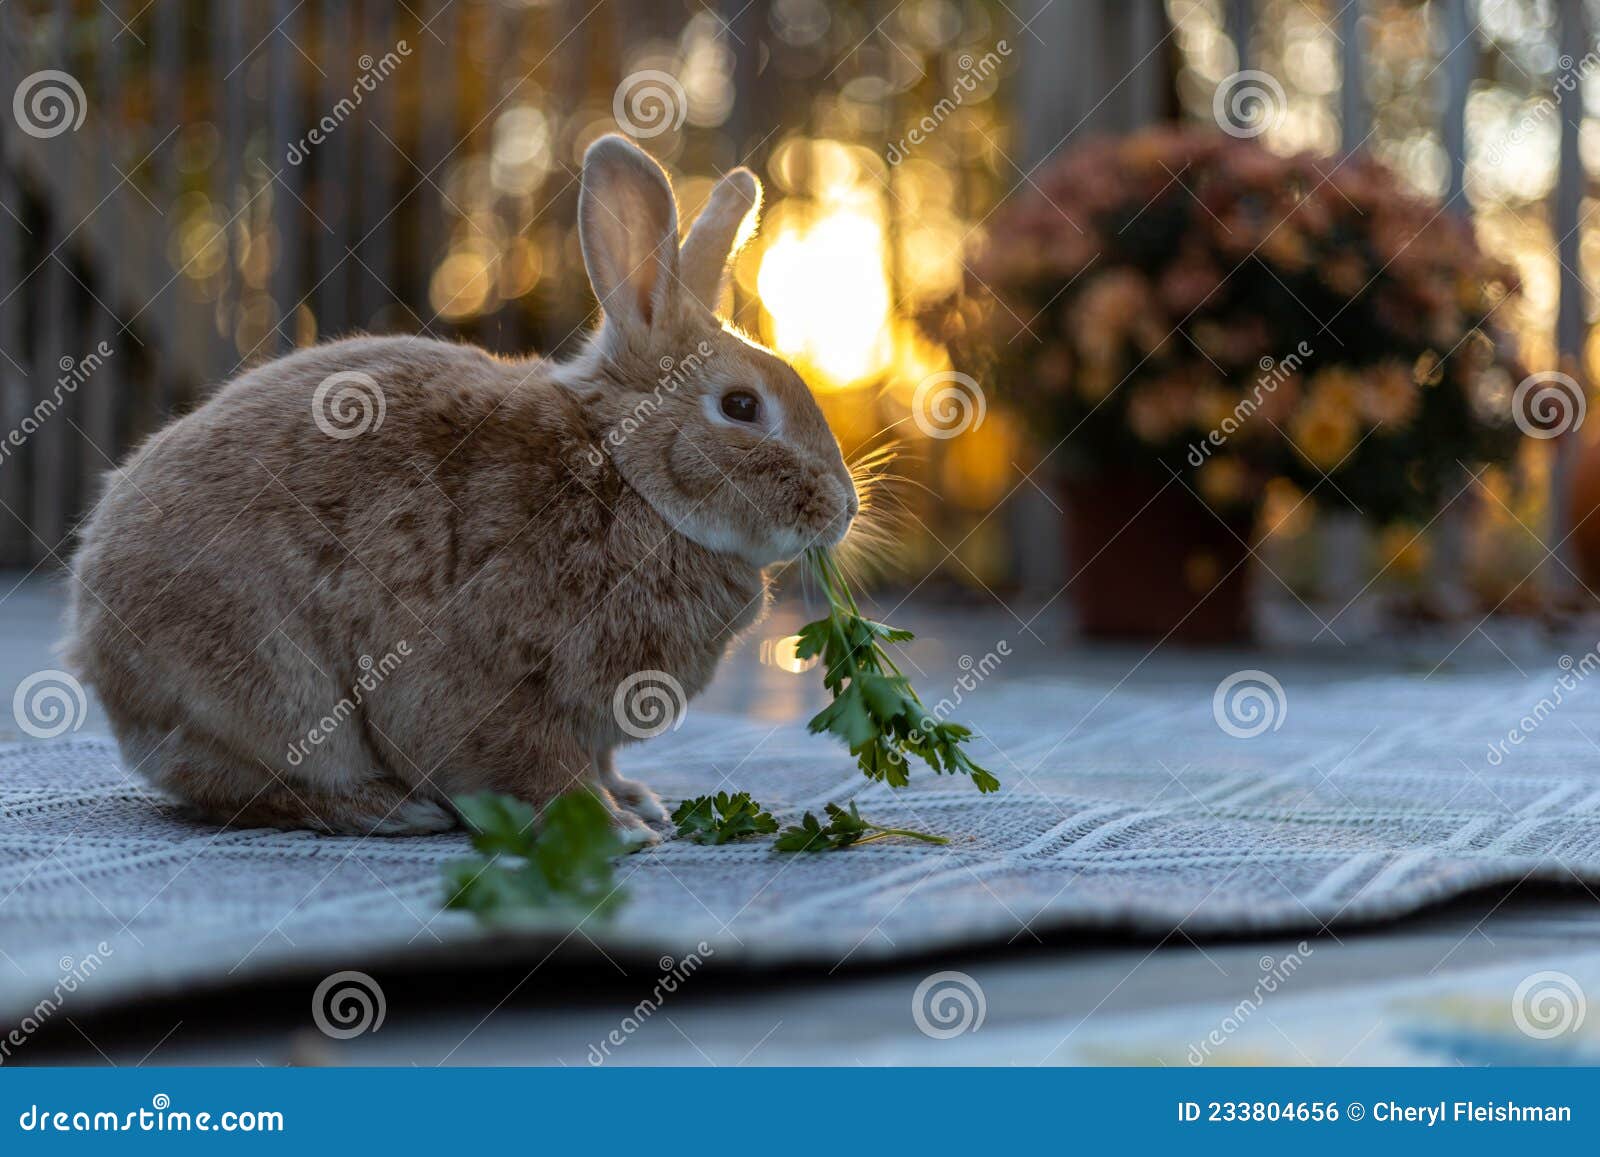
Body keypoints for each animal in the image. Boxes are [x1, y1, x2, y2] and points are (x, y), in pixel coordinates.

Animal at [65, 134, 858, 845]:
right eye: (742, 407)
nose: (844, 510)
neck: (627, 473)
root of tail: (95, 641)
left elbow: (596, 760)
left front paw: (636, 800)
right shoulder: (491, 675)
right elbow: (534, 765)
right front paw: (617, 829)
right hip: (277, 691)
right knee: (244, 785)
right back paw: (388, 809)